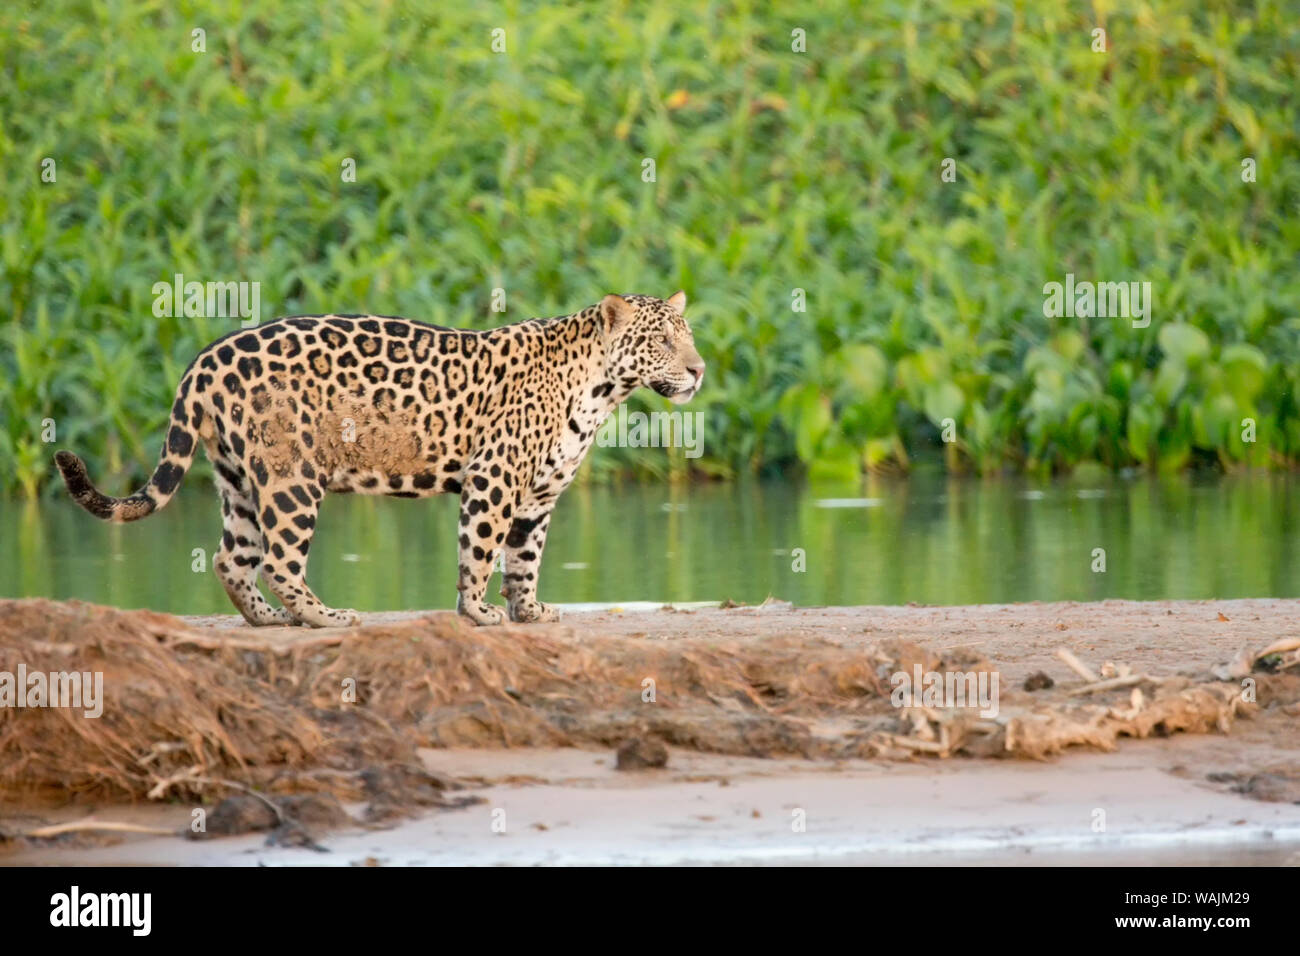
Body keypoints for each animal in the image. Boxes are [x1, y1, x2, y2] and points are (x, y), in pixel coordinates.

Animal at [54, 292, 704, 628]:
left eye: (688, 335)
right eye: (662, 341)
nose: (699, 369)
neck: (602, 389)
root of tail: (205, 358)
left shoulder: (539, 494)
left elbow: (525, 557)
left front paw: (529, 610)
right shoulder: (493, 477)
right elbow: (480, 550)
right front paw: (477, 612)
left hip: (239, 479)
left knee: (230, 559)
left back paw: (267, 620)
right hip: (290, 479)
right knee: (281, 560)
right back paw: (325, 616)